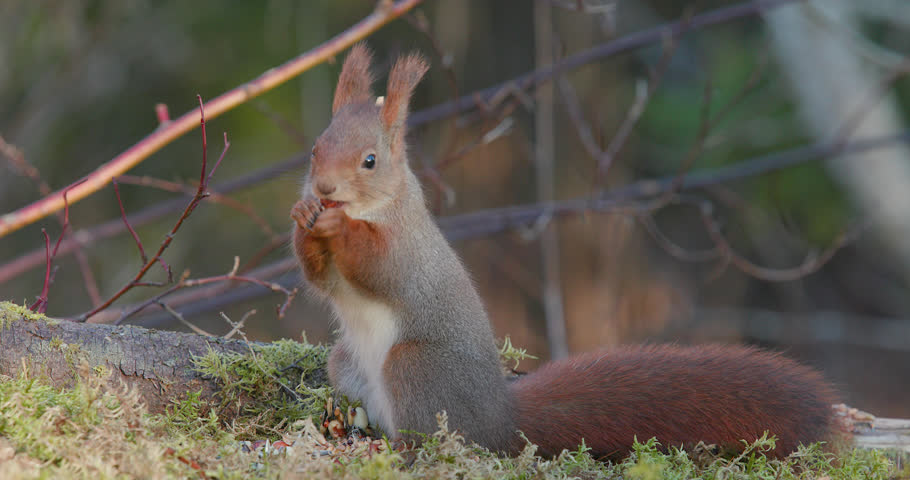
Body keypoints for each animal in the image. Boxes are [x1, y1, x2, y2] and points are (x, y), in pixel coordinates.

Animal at [290, 43, 837, 460]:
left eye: (370, 160)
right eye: (314, 148)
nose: (324, 188)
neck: (378, 206)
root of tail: (498, 420)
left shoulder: (406, 247)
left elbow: (379, 266)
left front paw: (338, 225)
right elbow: (321, 278)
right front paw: (304, 217)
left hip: (415, 369)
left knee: (438, 440)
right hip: (345, 364)